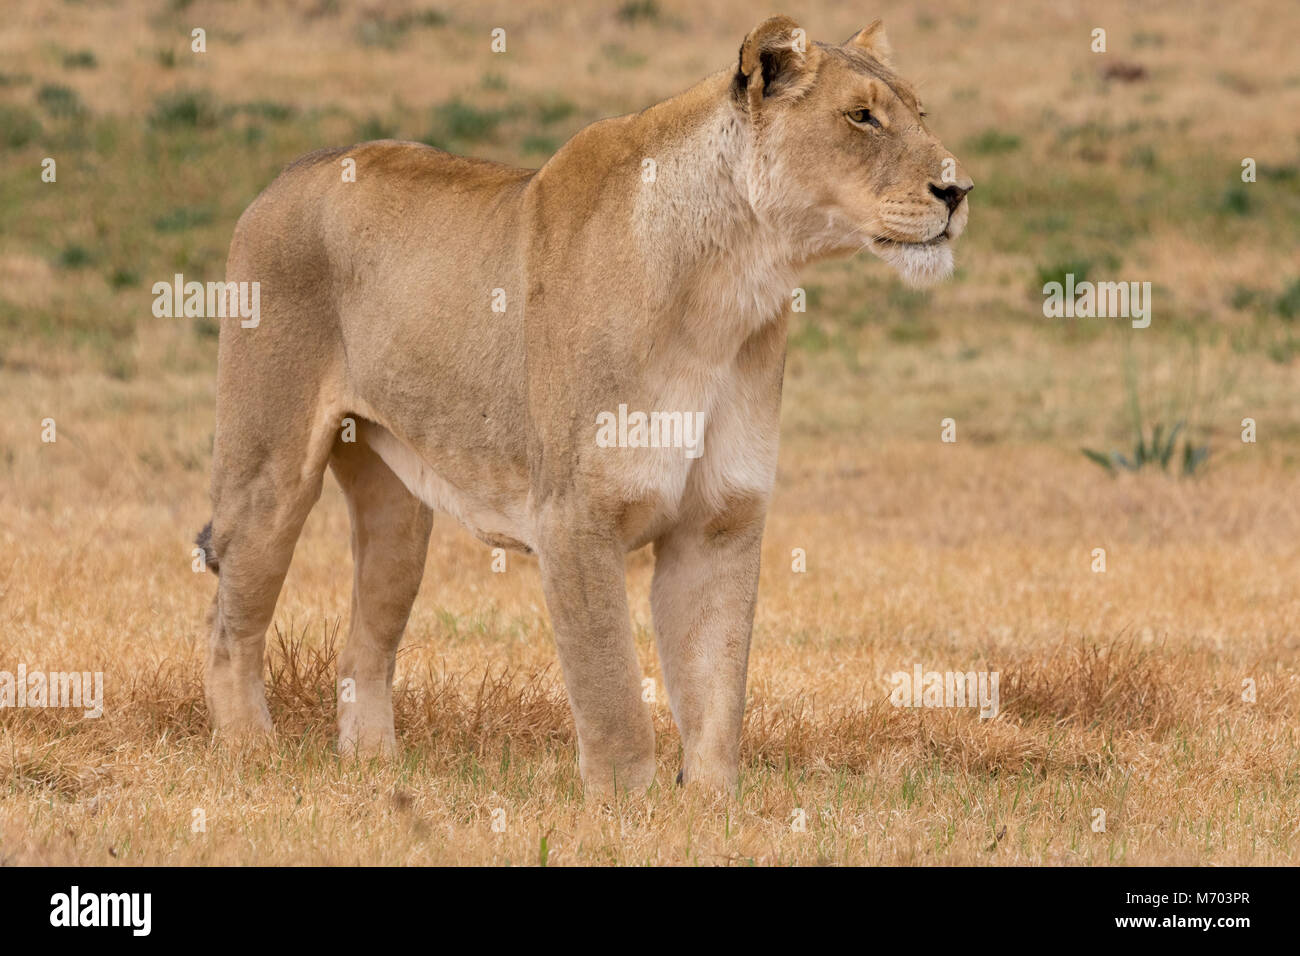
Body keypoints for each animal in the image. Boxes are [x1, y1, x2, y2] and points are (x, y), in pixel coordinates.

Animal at [196, 15, 972, 795]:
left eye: (920, 112)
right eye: (862, 116)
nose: (958, 189)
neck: (732, 288)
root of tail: (287, 174)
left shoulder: (720, 519)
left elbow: (717, 689)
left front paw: (716, 804)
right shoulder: (574, 515)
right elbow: (613, 691)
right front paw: (626, 807)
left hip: (399, 512)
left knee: (364, 648)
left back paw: (378, 770)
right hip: (270, 471)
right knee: (228, 622)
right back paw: (252, 756)